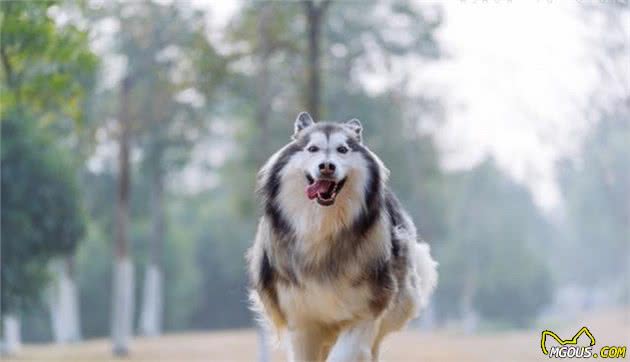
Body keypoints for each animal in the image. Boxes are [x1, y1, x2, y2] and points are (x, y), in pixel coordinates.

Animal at [248, 111, 440, 360]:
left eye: (342, 149)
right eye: (313, 149)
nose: (327, 167)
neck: (322, 229)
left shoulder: (365, 313)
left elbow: (344, 354)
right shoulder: (301, 322)